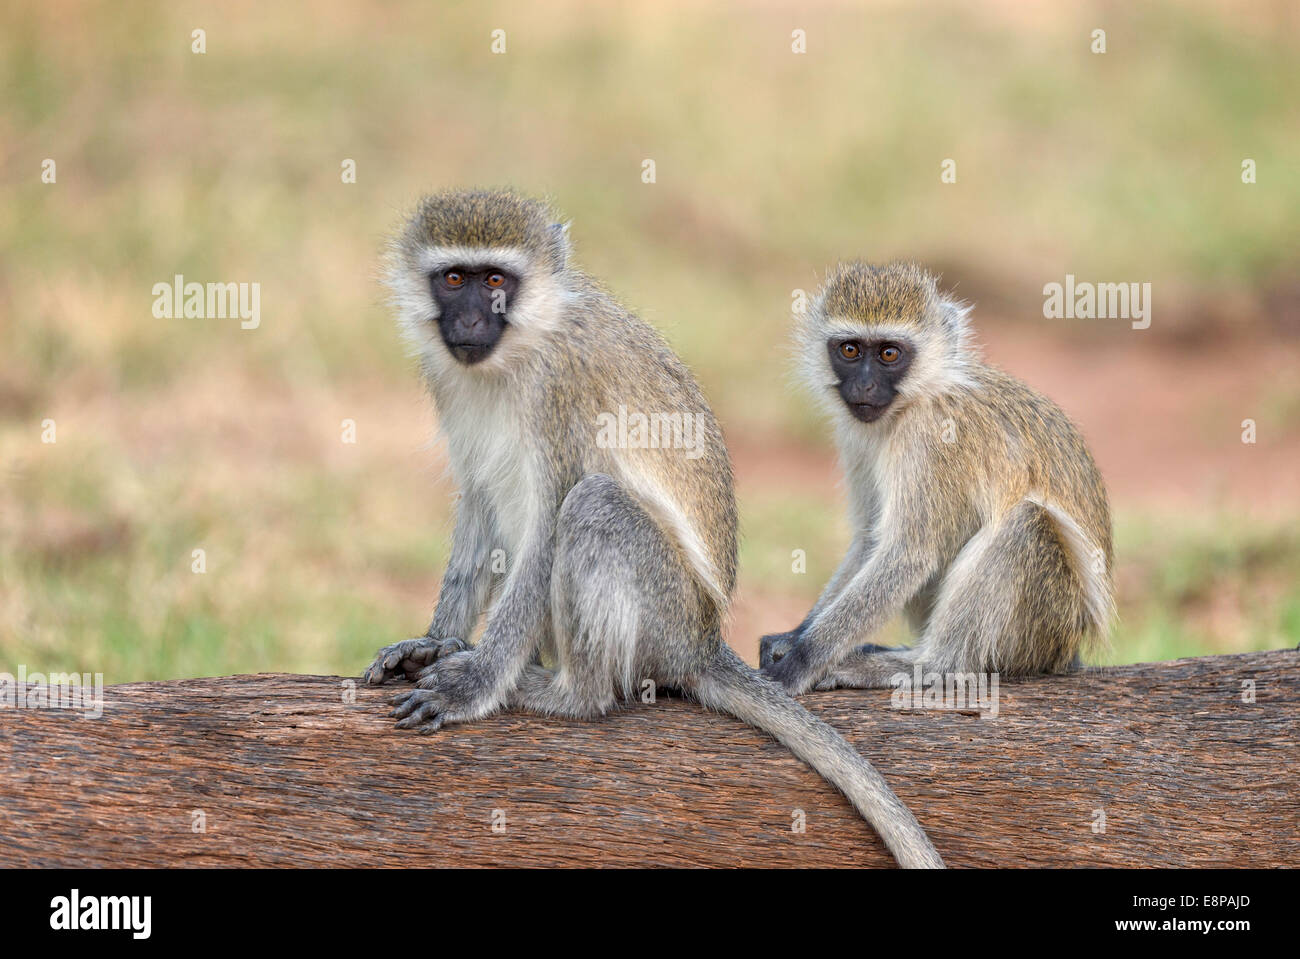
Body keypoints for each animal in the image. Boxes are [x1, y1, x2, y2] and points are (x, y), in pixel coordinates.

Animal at [362, 190, 943, 868]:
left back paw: (570, 694)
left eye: (497, 281)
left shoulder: (563, 386)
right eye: (455, 279)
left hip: (665, 617)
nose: (474, 321)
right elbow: (479, 505)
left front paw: (473, 684)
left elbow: (549, 524)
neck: (518, 349)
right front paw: (433, 643)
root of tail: (703, 642)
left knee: (594, 505)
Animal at [759, 261, 1114, 695]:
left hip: (1048, 623)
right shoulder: (856, 434)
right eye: (850, 349)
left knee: (1026, 526)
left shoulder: (930, 437)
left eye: (889, 353)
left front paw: (802, 660)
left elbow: (909, 553)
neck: (917, 400)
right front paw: (795, 635)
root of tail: (1066, 652)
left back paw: (929, 665)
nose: (864, 385)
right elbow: (869, 539)